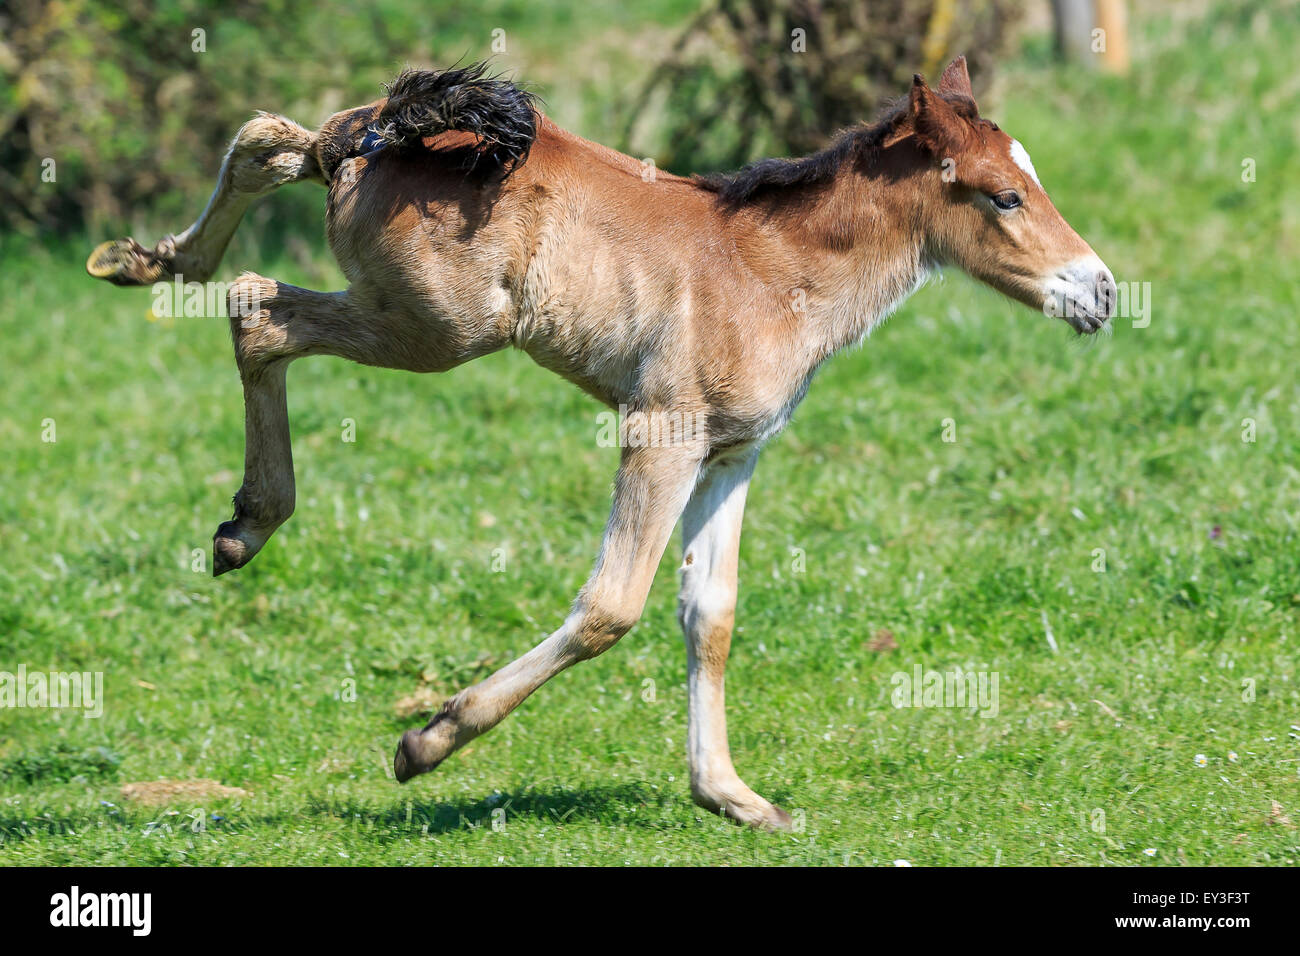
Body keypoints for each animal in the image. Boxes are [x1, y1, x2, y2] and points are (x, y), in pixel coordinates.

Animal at [86, 56, 1115, 830]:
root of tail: (402, 133)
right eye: (1003, 198)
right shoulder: (662, 431)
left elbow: (711, 613)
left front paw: (732, 796)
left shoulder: (732, 452)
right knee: (257, 306)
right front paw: (427, 741)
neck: (772, 270)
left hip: (396, 273)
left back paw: (149, 263)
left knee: (274, 153)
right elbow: (613, 605)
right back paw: (248, 519)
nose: (1100, 290)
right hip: (441, 329)